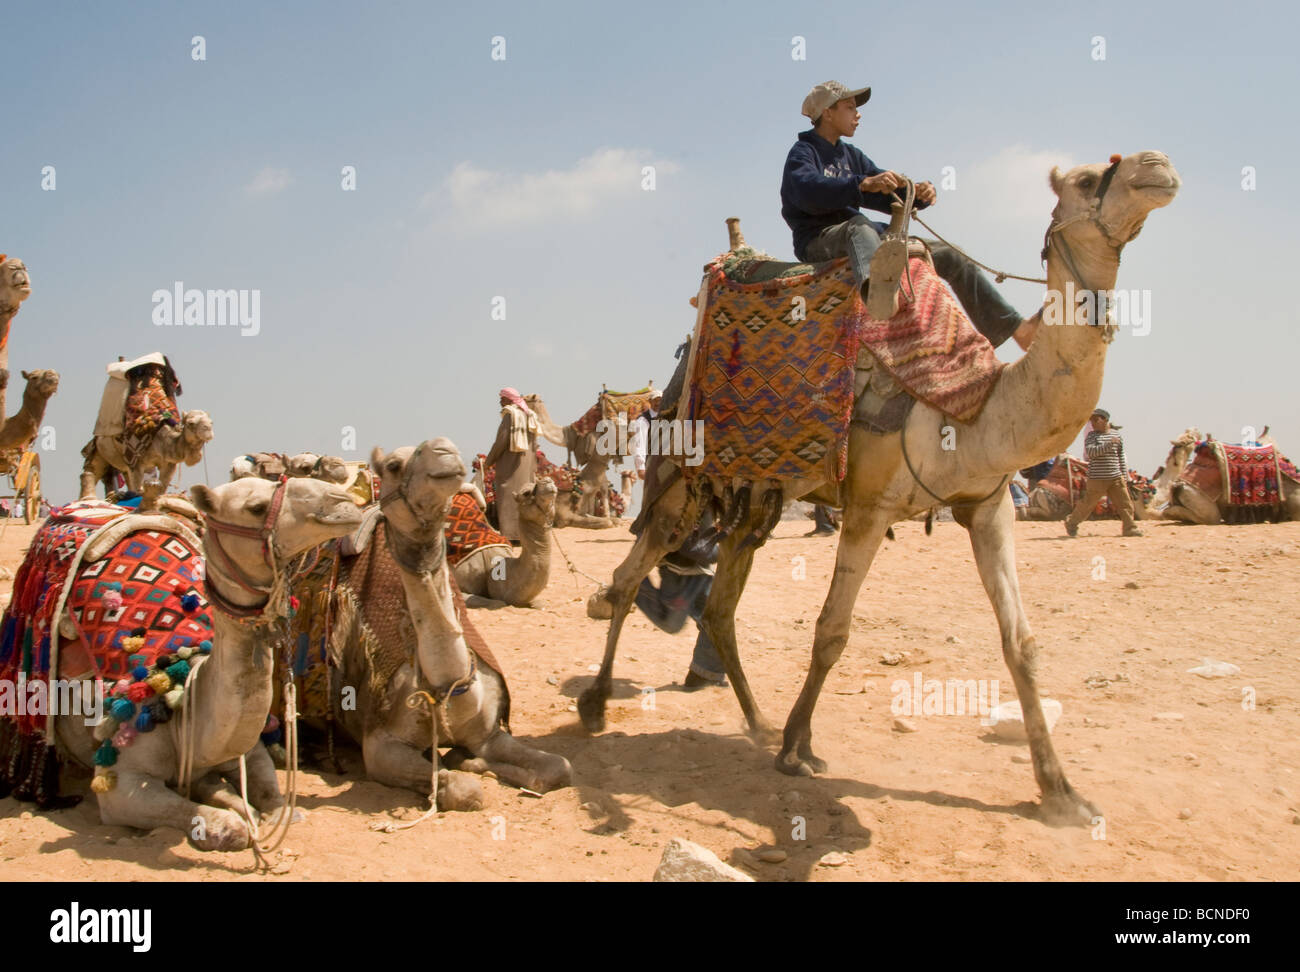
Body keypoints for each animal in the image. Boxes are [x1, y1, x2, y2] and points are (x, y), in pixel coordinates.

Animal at [30, 478, 364, 849]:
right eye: (256, 507)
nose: (342, 500)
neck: (180, 696)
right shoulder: (120, 779)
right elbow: (227, 824)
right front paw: (232, 819)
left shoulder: (245, 751)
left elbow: (276, 802)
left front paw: (248, 805)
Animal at [80, 409, 213, 501]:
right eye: (191, 423)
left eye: (211, 422)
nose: (208, 430)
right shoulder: (137, 461)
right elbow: (138, 485)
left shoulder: (169, 464)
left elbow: (162, 487)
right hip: (98, 452)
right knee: (92, 471)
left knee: (119, 476)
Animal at [579, 151, 1180, 827]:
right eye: (1087, 179)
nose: (1157, 165)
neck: (969, 405)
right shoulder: (870, 505)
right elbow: (831, 632)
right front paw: (798, 751)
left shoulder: (989, 506)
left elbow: (1020, 643)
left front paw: (1063, 795)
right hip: (680, 482)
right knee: (631, 575)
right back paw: (597, 706)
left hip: (756, 497)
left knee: (720, 607)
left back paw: (757, 723)